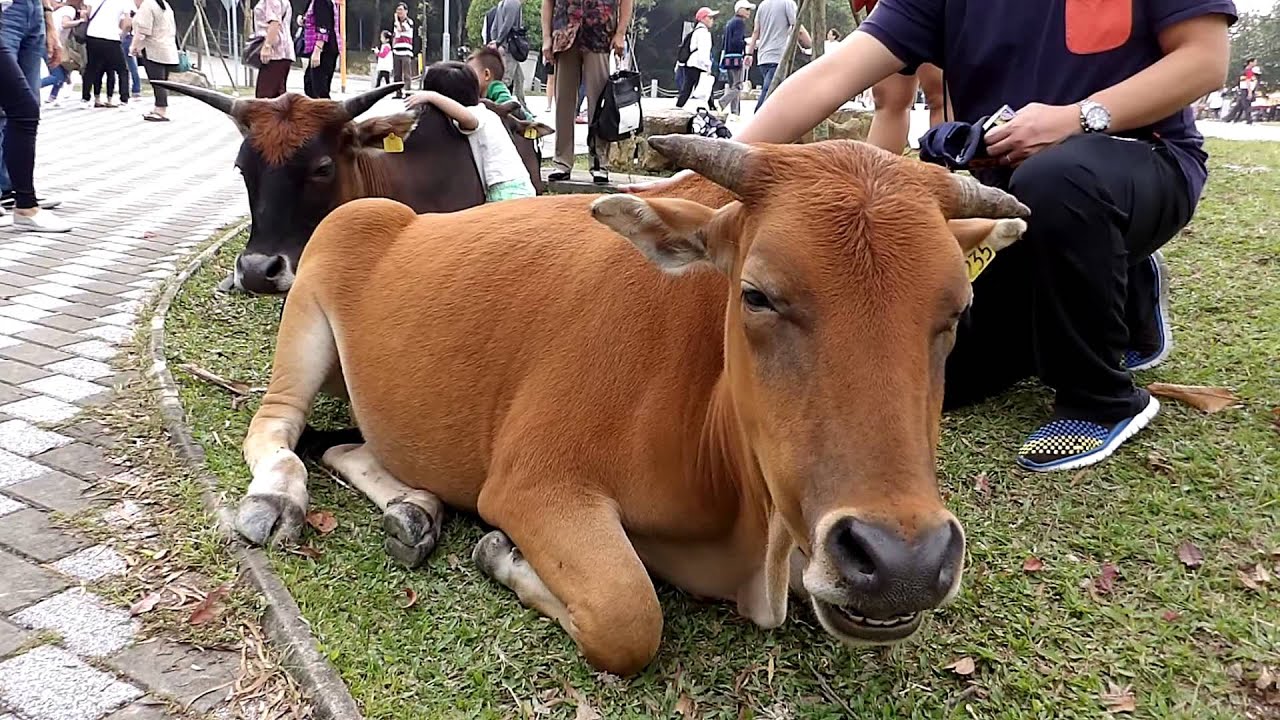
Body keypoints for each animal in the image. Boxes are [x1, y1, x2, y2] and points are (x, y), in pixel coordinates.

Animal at [234, 134, 1029, 675]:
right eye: (756, 294)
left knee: (347, 444)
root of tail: (390, 212)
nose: (900, 564)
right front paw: (501, 552)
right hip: (303, 320)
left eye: (959, 310)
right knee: (277, 426)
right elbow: (628, 617)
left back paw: (414, 509)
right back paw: (277, 498)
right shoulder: (533, 486)